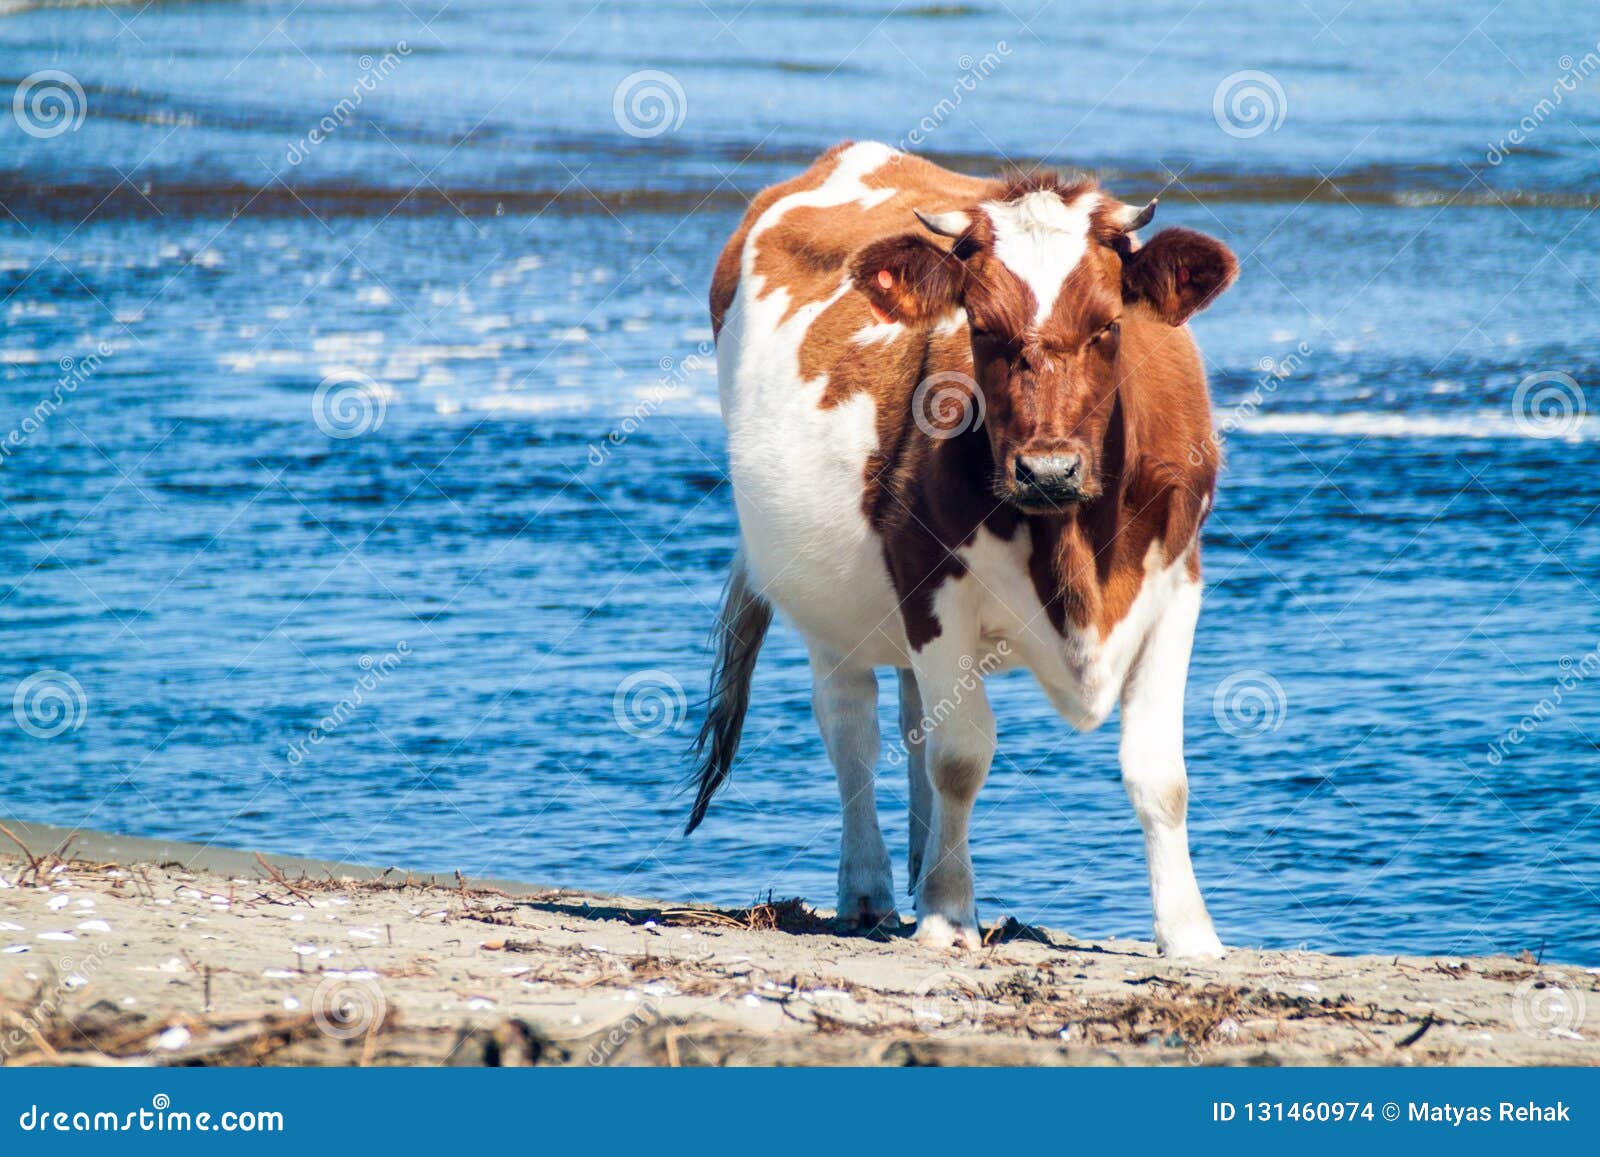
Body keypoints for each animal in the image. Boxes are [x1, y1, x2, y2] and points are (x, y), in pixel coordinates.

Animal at [684, 141, 1238, 957]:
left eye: (1110, 325)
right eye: (979, 325)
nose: (1048, 470)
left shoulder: (1176, 587)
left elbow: (1159, 774)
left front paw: (1191, 934)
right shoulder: (930, 582)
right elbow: (960, 759)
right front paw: (948, 913)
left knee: (912, 720)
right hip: (823, 600)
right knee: (852, 726)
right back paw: (873, 890)